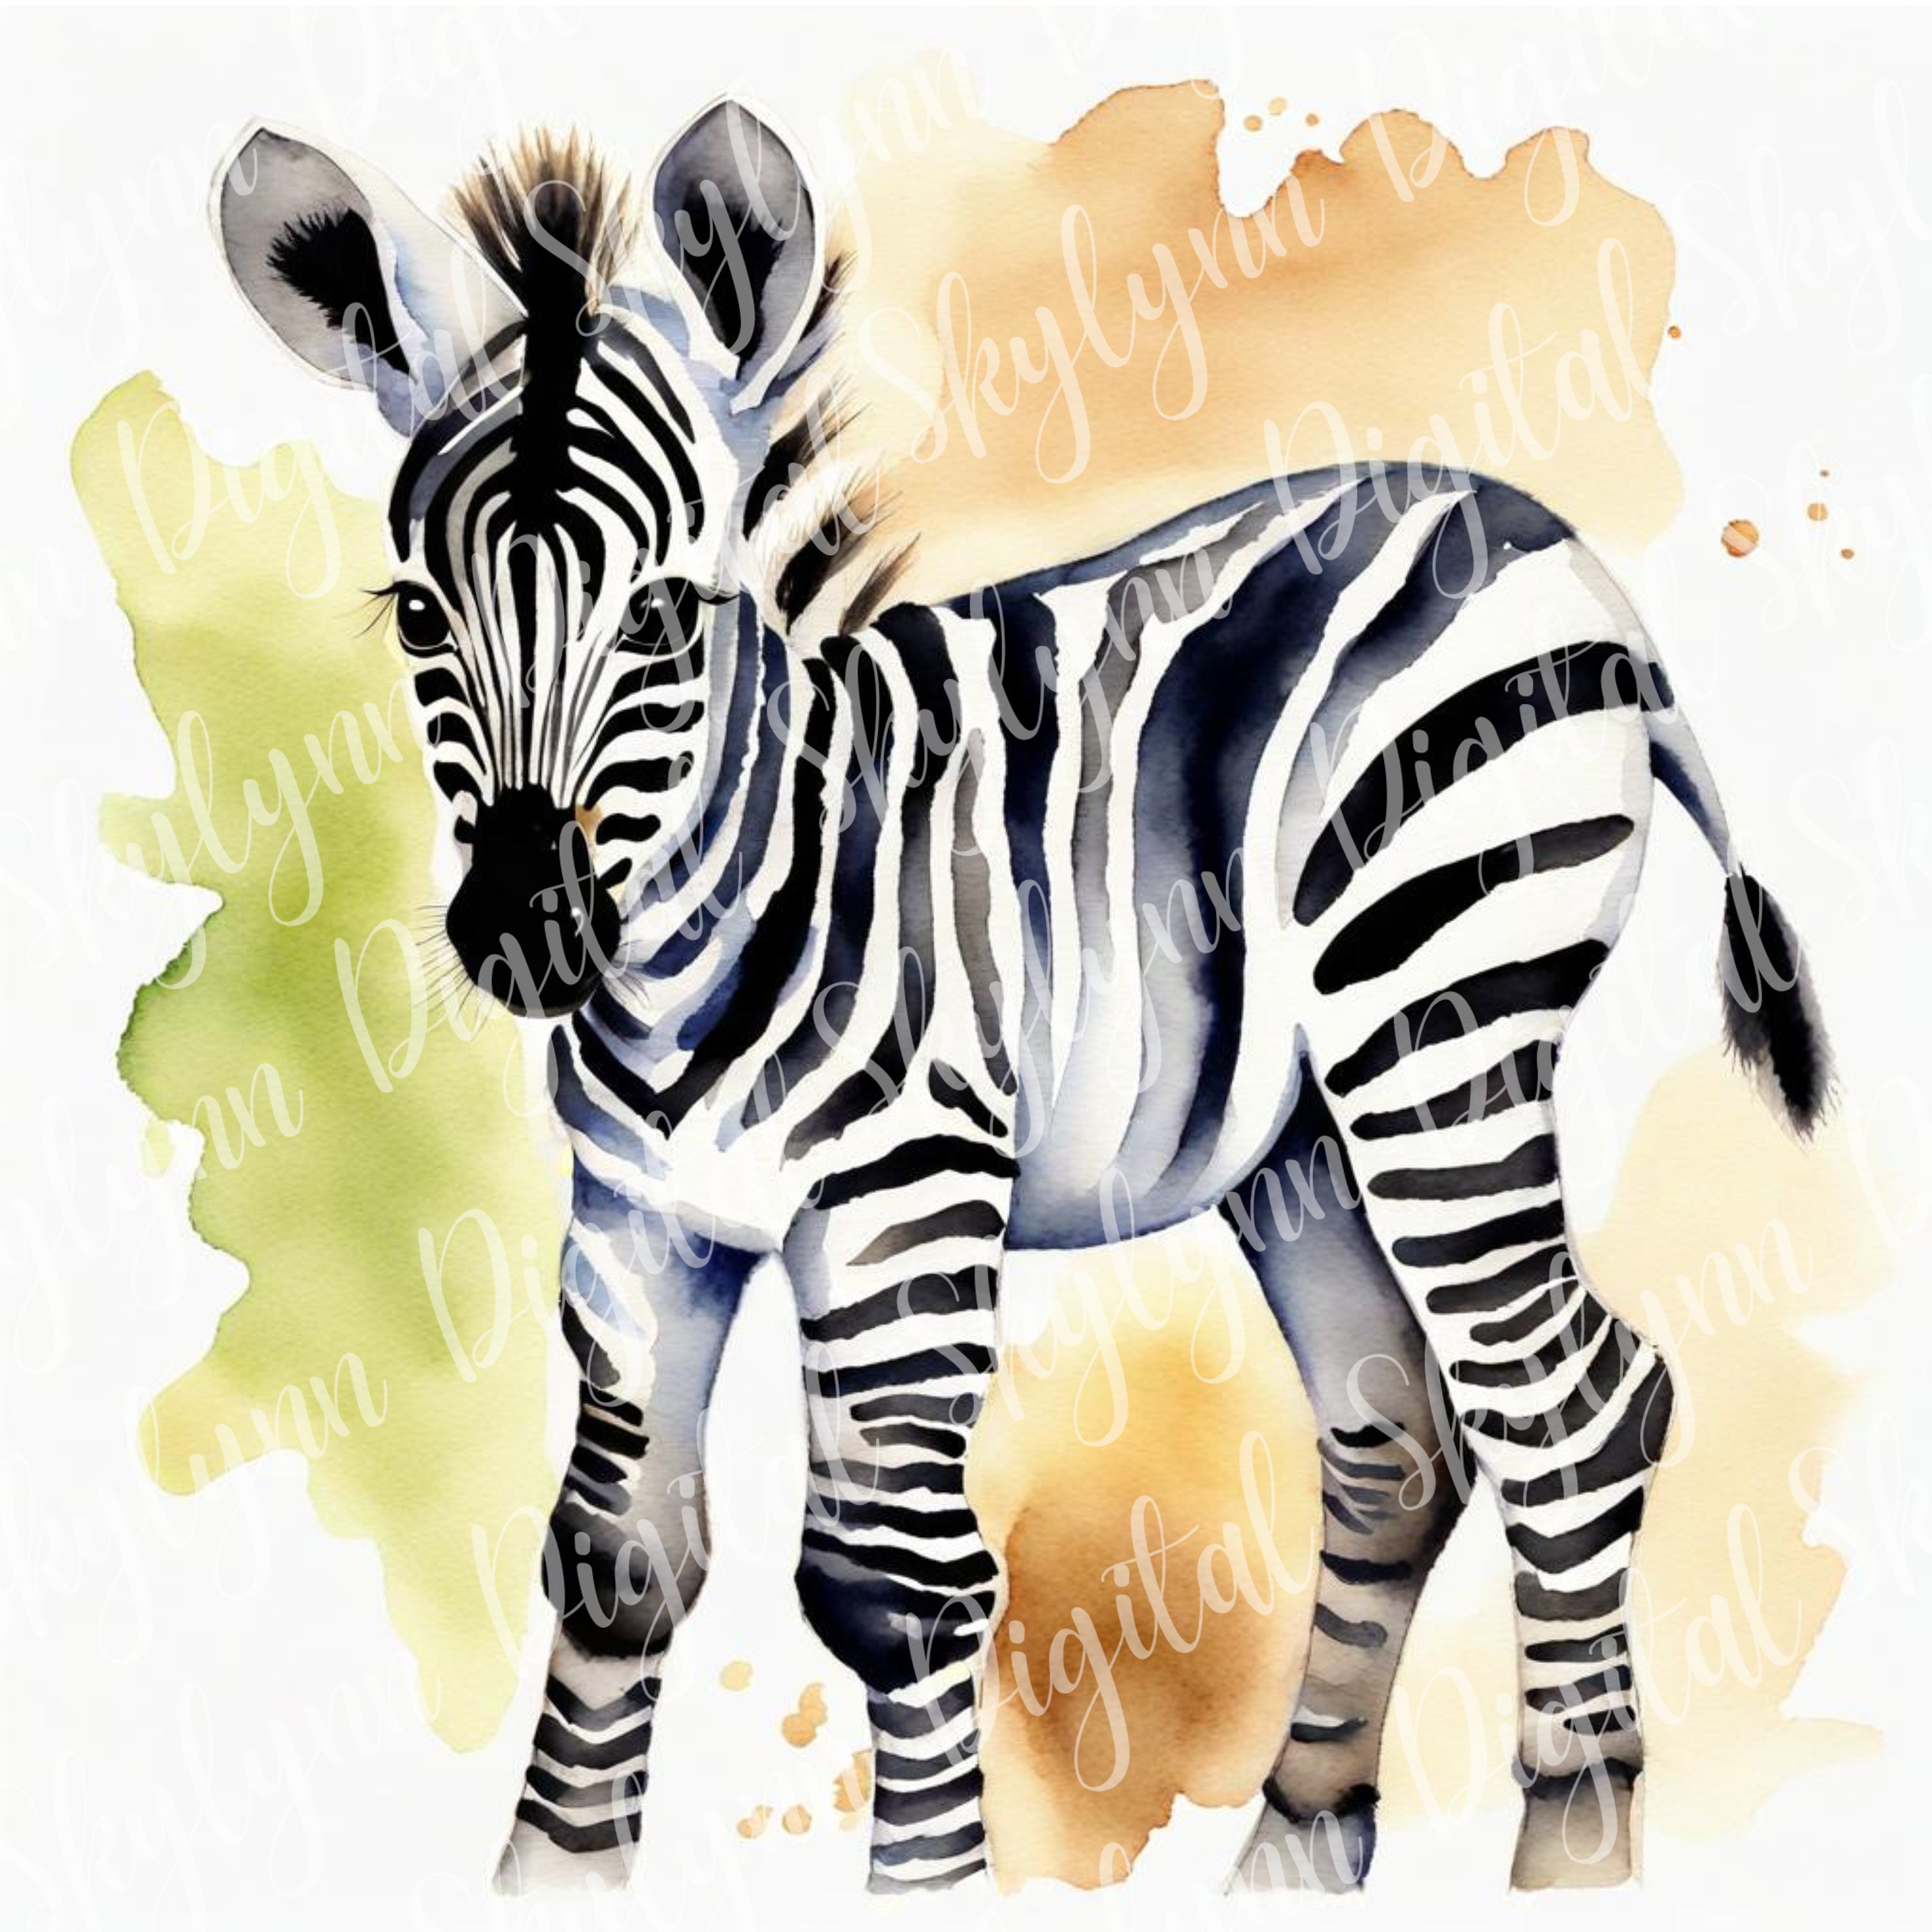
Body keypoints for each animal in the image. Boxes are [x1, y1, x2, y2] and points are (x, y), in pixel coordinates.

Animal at [211, 100, 1829, 1896]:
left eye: (661, 614)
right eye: (421, 615)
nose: (522, 928)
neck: (719, 924)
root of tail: (1535, 534)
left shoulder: (901, 1212)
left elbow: (892, 1600)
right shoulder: (639, 1225)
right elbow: (615, 1565)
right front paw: (555, 1880)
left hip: (1440, 1018)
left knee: (1575, 1403)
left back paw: (1574, 1836)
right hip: (1299, 1129)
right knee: (1399, 1439)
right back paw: (1294, 1837)